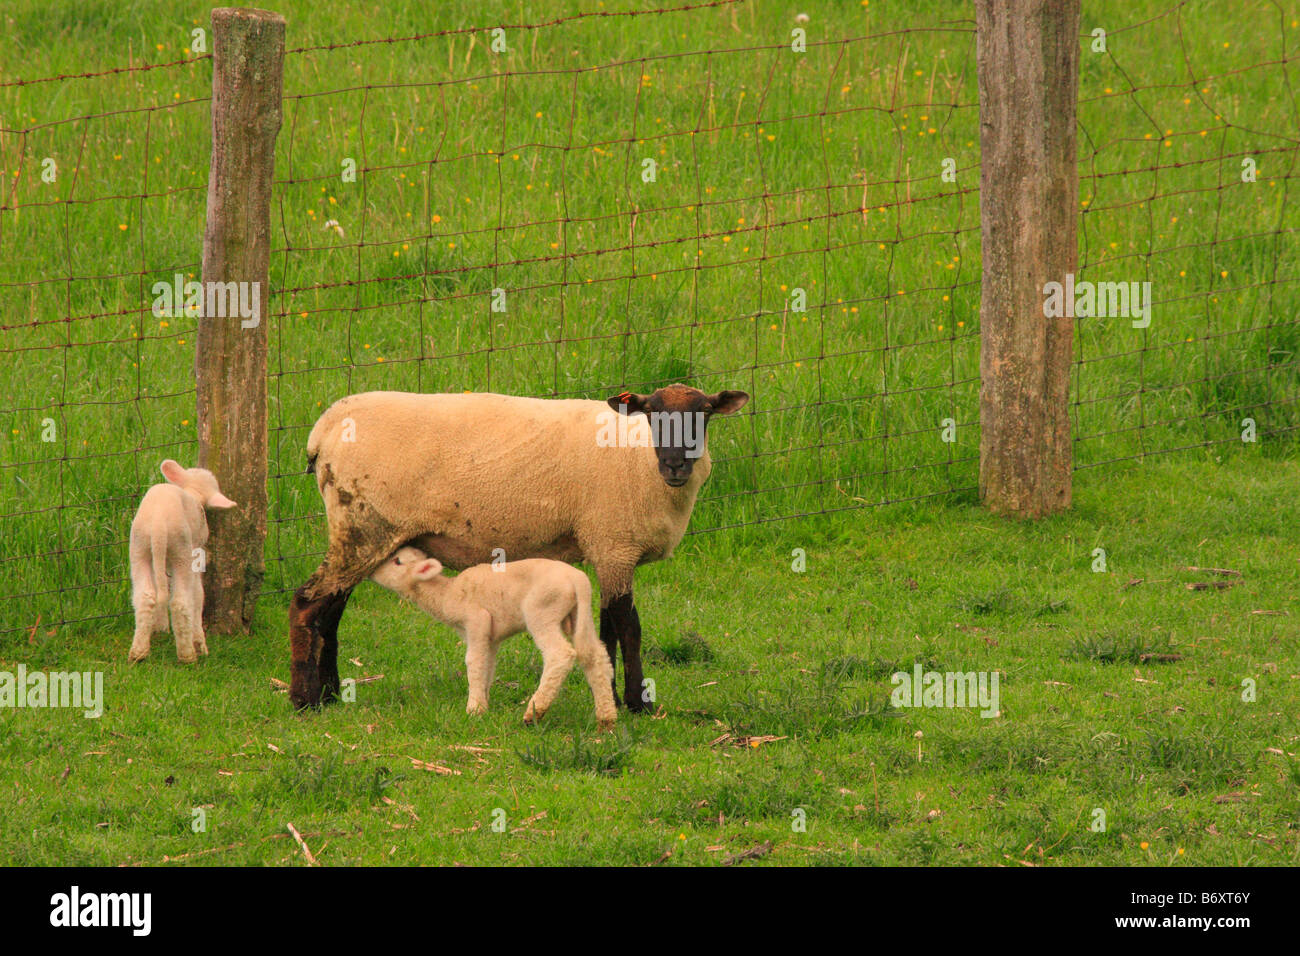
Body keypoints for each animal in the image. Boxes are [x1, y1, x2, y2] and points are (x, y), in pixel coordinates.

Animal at [127, 460, 236, 663]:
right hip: (181, 550)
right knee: (180, 602)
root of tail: (159, 525)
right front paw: (199, 642)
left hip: (139, 547)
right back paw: (188, 655)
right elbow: (198, 595)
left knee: (145, 597)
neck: (193, 492)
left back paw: (138, 652)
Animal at [371, 545, 617, 728]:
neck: (445, 593)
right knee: (594, 656)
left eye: (397, 561)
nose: (372, 570)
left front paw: (474, 709)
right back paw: (606, 718)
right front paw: (483, 702)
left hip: (542, 610)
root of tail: (579, 580)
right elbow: (487, 664)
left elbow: (473, 661)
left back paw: (534, 711)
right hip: (580, 614)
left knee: (561, 654)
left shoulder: (477, 620)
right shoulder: (491, 636)